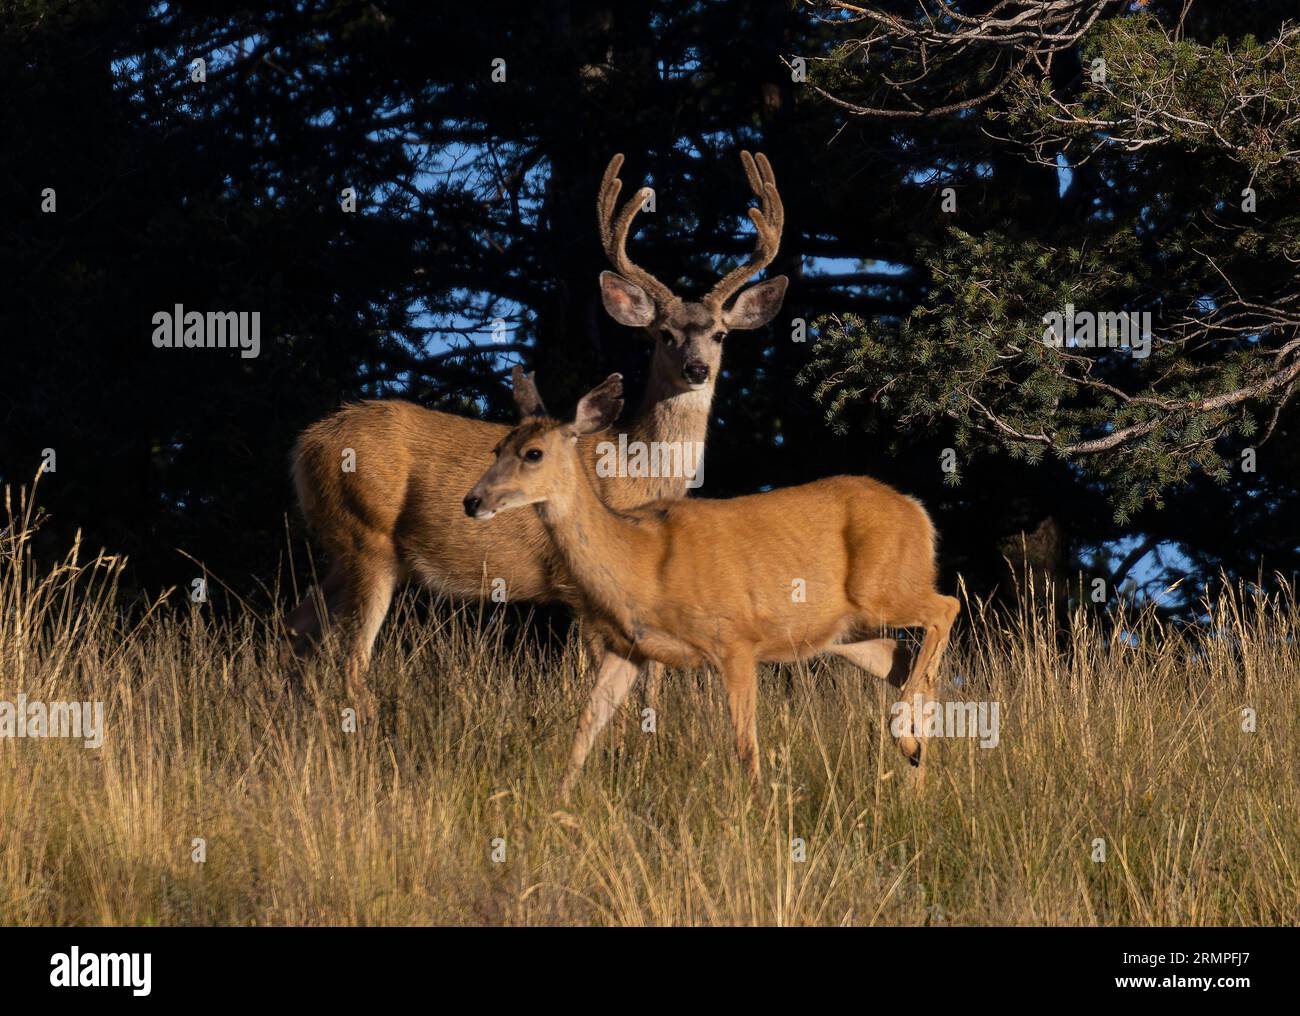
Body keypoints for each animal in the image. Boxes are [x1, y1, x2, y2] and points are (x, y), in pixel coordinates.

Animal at [285, 152, 788, 709]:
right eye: (664, 334)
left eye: (719, 334)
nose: (697, 369)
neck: (635, 470)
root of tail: (306, 445)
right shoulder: (580, 586)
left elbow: (653, 677)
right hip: (369, 538)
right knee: (351, 658)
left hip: (343, 548)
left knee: (297, 625)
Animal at [463, 369, 962, 800]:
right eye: (496, 449)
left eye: (533, 453)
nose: (473, 500)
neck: (641, 564)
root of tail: (918, 512)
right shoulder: (629, 648)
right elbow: (586, 725)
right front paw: (558, 802)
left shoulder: (735, 638)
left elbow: (744, 742)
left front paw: (759, 807)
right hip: (845, 632)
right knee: (906, 661)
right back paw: (916, 772)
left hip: (886, 588)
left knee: (946, 608)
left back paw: (908, 742)